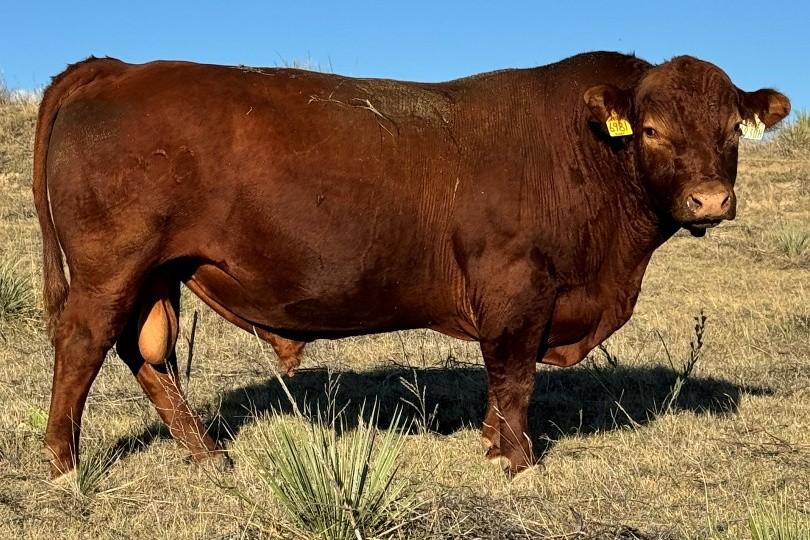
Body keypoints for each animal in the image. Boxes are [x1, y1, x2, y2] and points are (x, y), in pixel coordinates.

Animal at [32, 52, 789, 479]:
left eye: (731, 129)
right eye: (652, 129)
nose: (711, 199)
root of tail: (119, 69)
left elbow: (502, 384)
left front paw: (492, 446)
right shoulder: (519, 288)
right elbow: (513, 376)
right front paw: (516, 461)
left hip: (156, 272)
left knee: (148, 356)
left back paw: (209, 454)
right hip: (111, 268)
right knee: (82, 346)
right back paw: (64, 462)